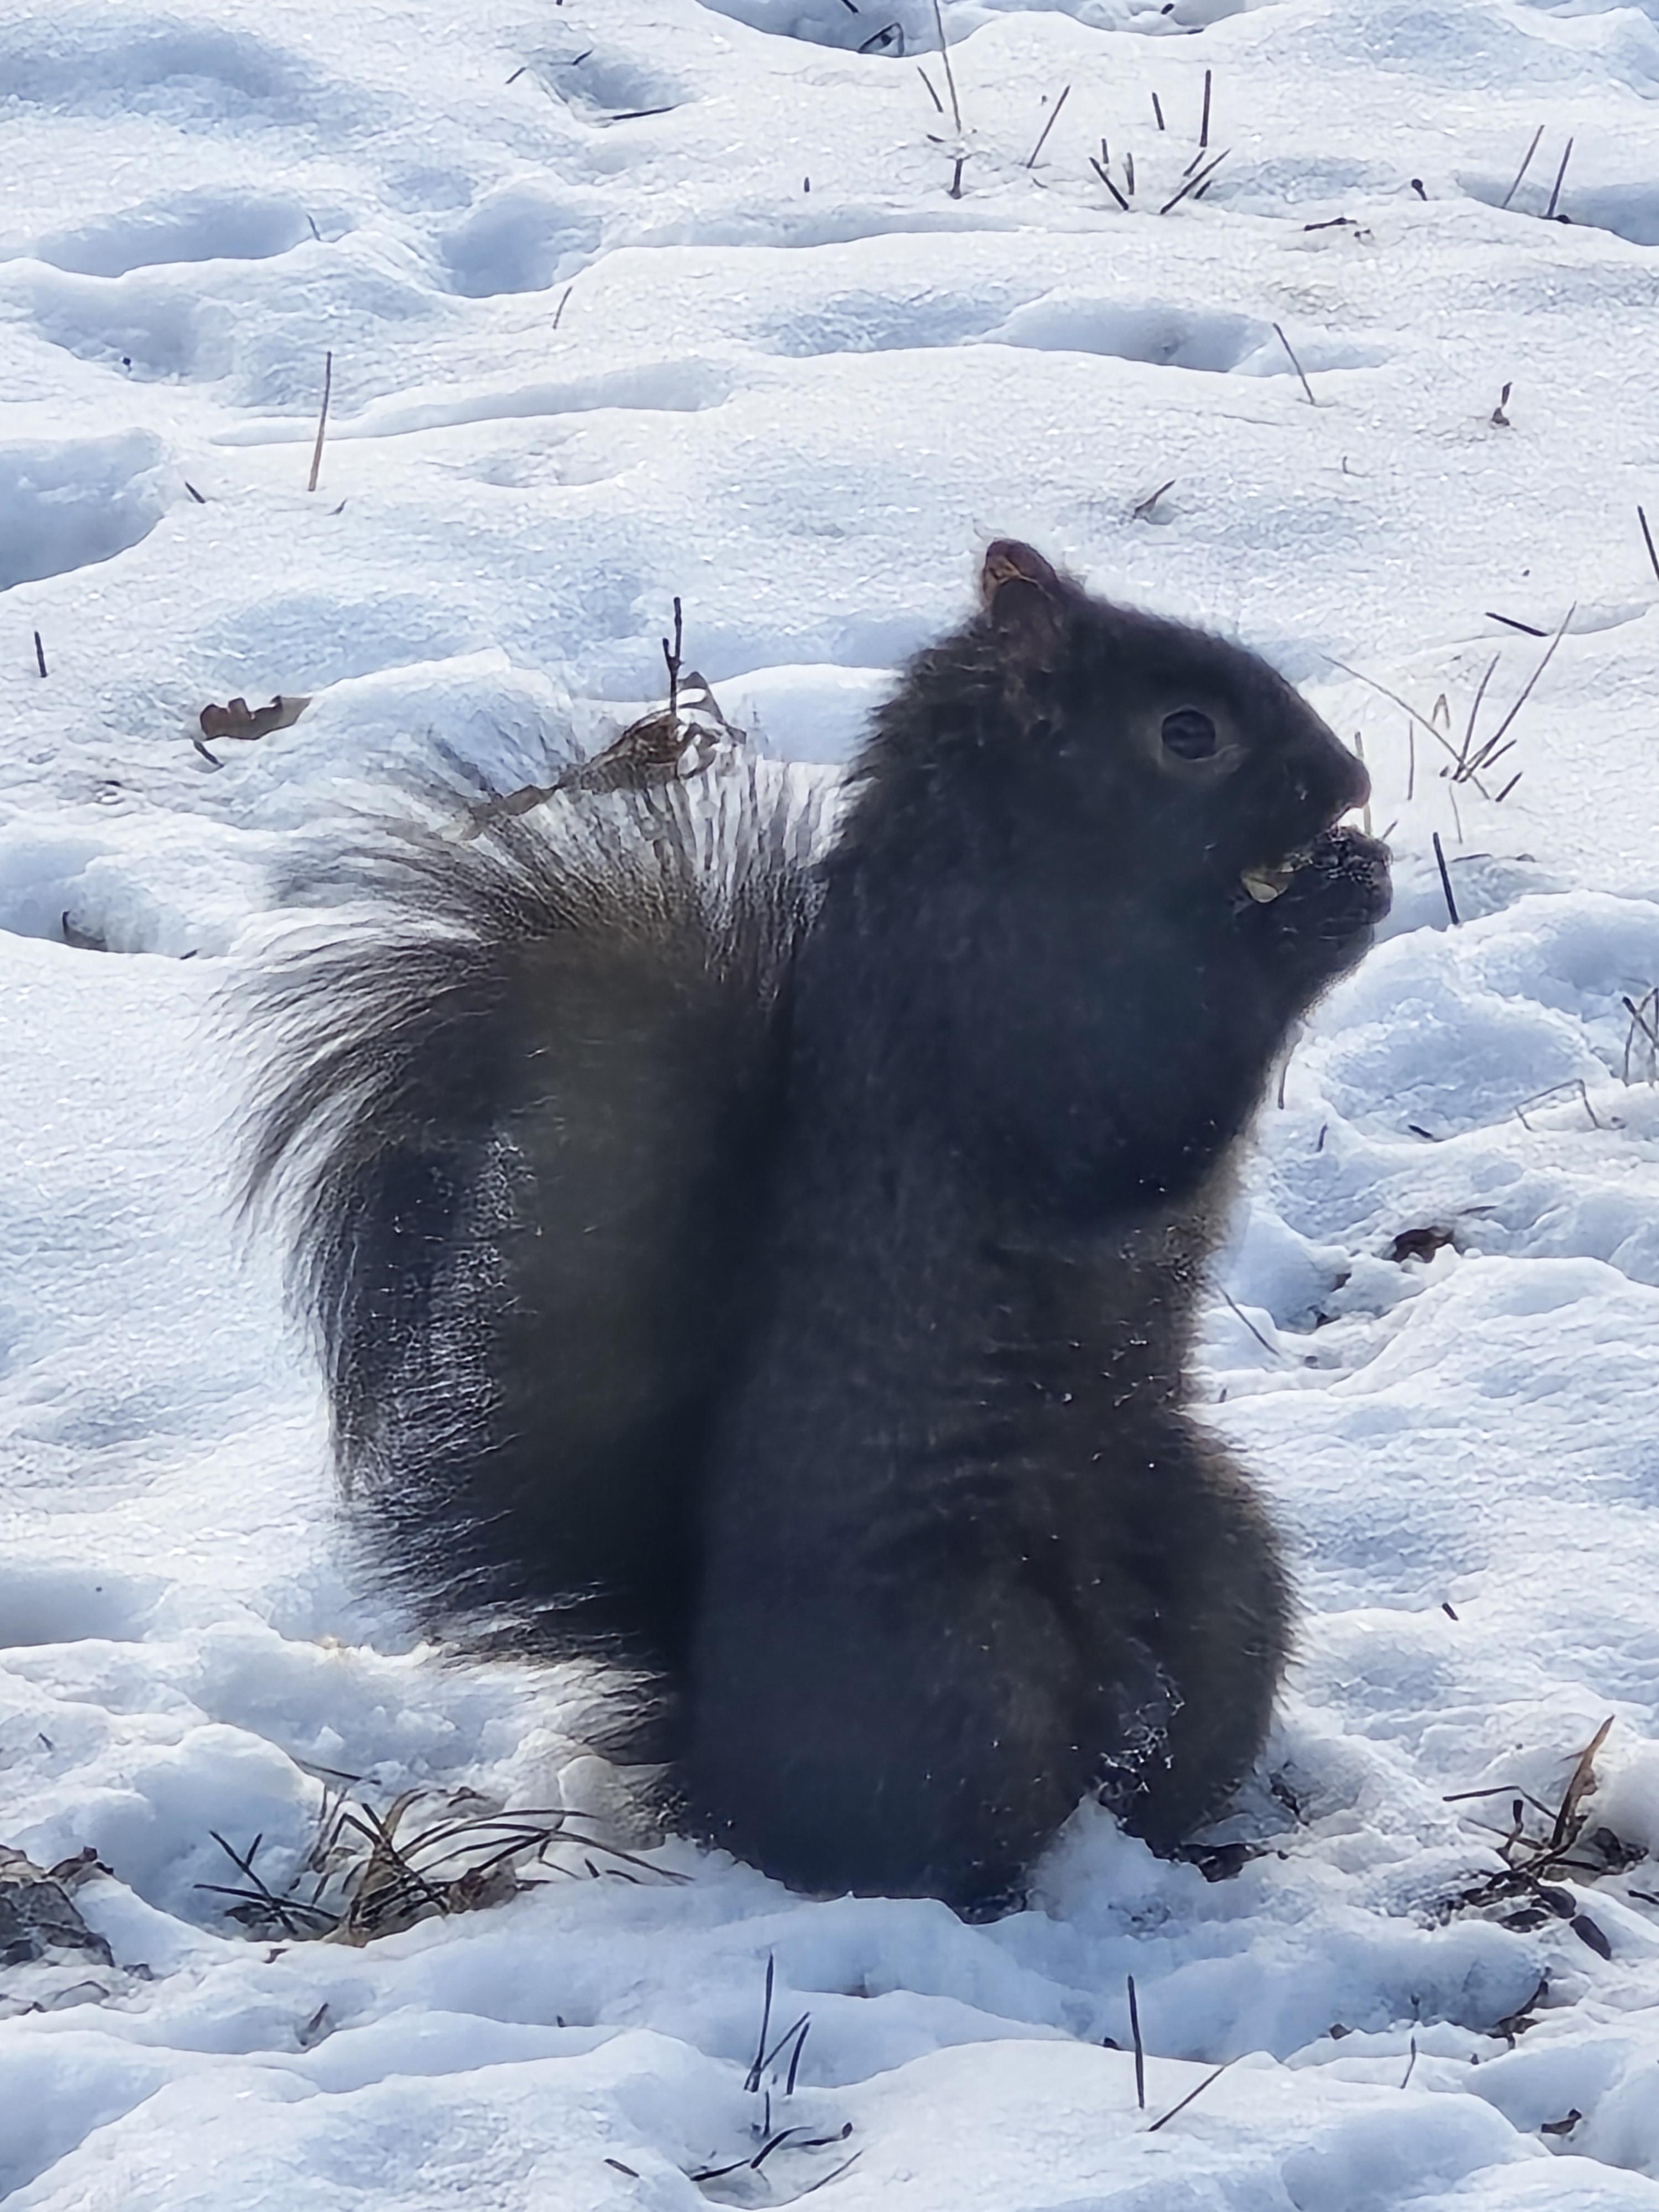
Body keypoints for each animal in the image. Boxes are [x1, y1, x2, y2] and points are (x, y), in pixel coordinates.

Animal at [245, 541, 1390, 1915]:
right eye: (1187, 732)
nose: (1354, 783)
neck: (1032, 869)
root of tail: (720, 1759)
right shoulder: (1004, 1041)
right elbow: (1133, 1132)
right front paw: (1319, 910)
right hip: (960, 1658)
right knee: (945, 1826)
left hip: (1224, 1574)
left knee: (1169, 1745)